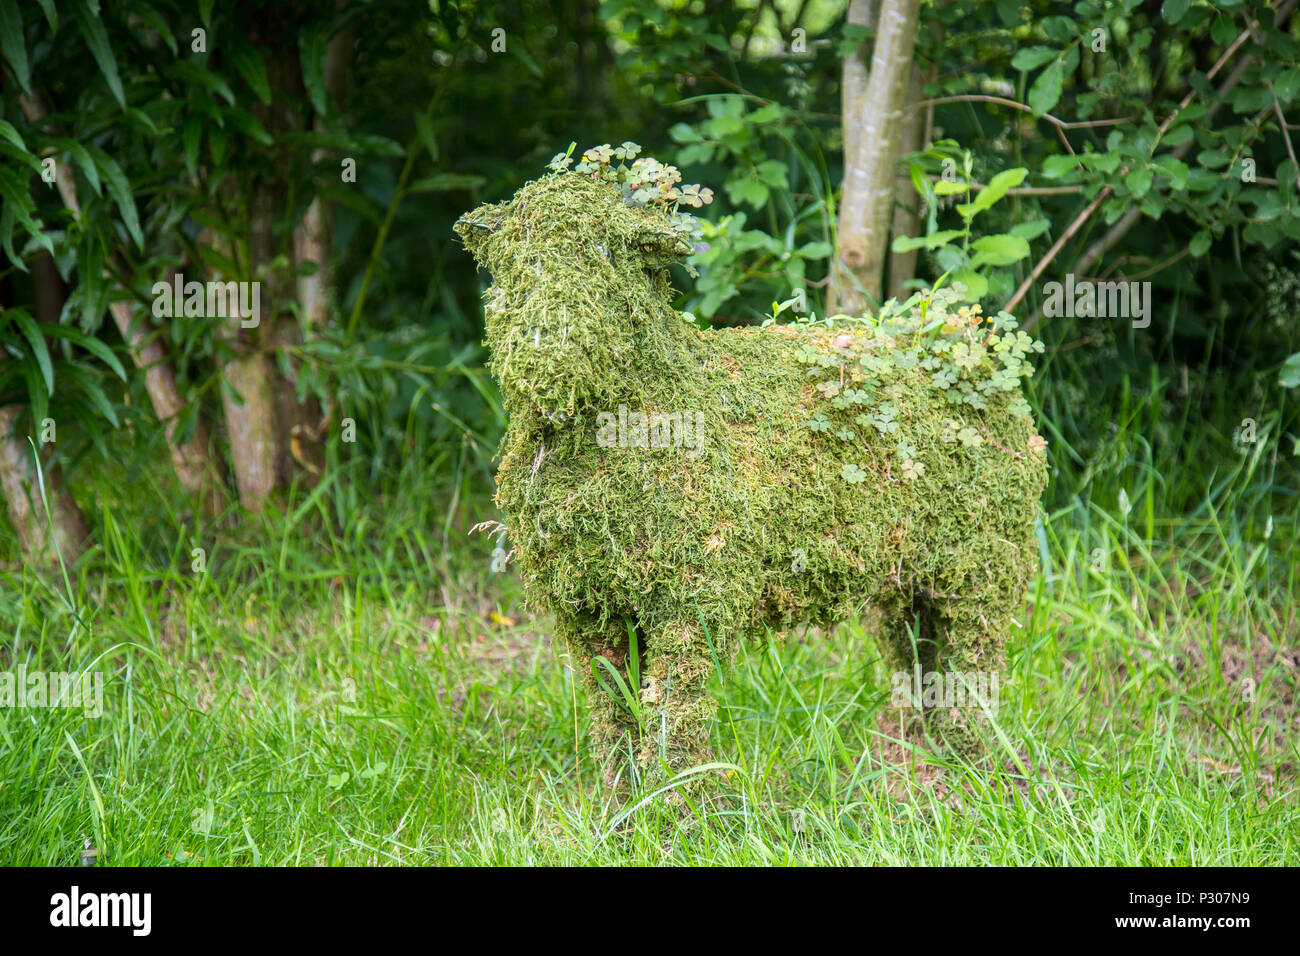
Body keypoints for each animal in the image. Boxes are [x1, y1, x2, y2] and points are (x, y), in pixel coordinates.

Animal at [455, 160, 1048, 794]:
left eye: (609, 254)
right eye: (512, 262)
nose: (546, 348)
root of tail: (978, 358)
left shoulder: (694, 595)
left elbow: (676, 707)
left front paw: (679, 803)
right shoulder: (587, 605)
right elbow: (613, 707)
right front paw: (619, 801)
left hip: (985, 563)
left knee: (972, 663)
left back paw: (976, 766)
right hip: (912, 574)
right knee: (920, 658)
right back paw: (921, 762)